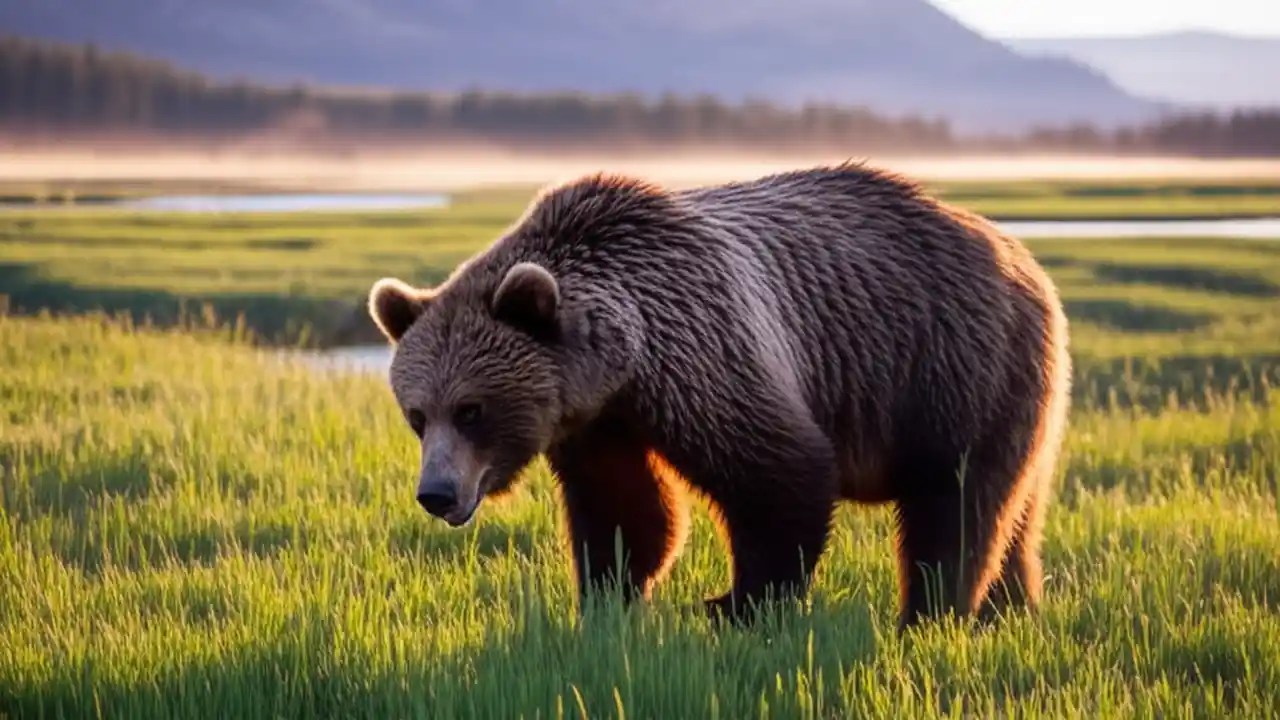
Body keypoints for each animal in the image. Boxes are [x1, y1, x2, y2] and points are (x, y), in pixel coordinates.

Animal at [368, 162, 1071, 629]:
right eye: (417, 415)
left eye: (472, 409)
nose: (436, 493)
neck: (621, 364)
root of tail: (1024, 258)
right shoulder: (598, 423)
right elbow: (626, 509)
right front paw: (608, 595)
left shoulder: (704, 350)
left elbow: (777, 471)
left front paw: (735, 604)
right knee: (1015, 515)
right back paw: (1010, 609)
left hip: (953, 366)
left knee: (954, 502)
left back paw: (930, 614)